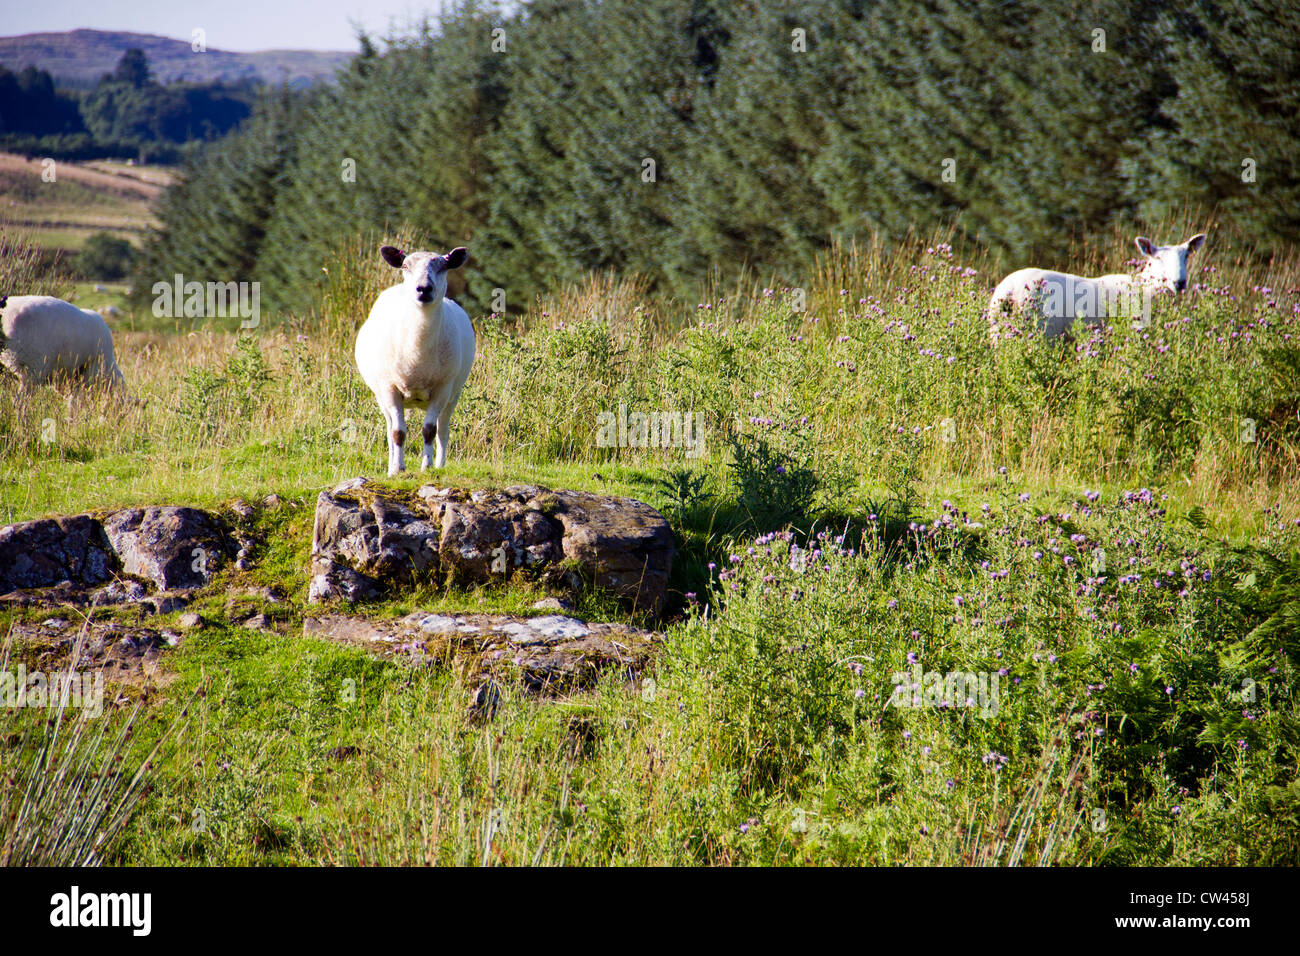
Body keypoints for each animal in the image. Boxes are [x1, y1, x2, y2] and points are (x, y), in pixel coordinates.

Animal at [355, 245, 475, 476]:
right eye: (405, 266)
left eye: (443, 267)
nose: (424, 289)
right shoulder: (389, 388)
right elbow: (398, 432)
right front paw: (397, 469)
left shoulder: (442, 389)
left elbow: (429, 430)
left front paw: (427, 467)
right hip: (382, 396)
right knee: (389, 428)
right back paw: (392, 465)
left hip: (454, 393)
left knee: (443, 429)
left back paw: (440, 465)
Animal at [989, 234, 1207, 340]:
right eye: (1158, 258)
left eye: (1186, 256)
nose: (1179, 282)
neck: (1145, 288)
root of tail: (1009, 289)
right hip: (1040, 330)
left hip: (997, 330)